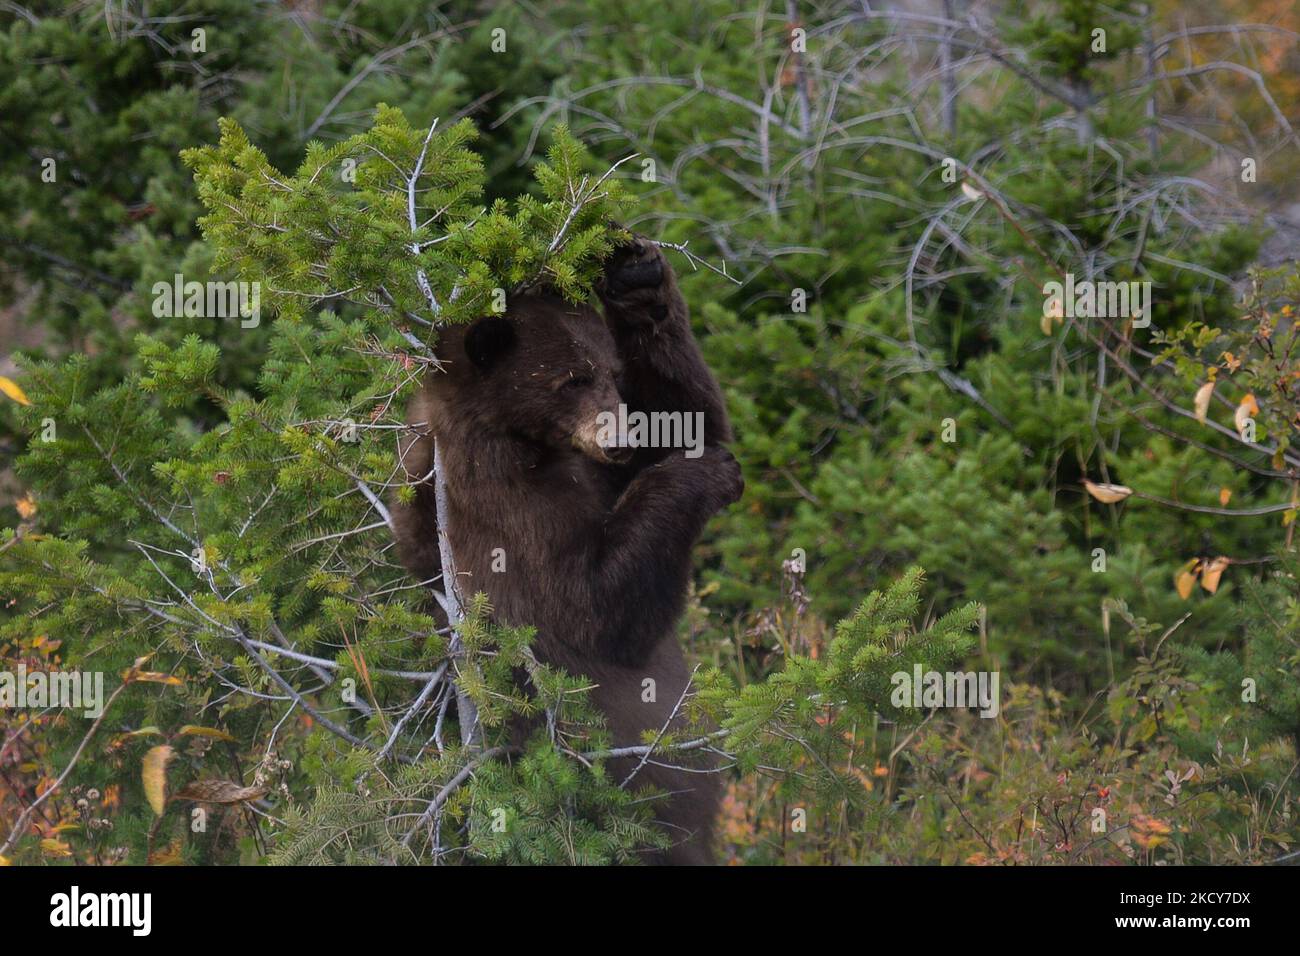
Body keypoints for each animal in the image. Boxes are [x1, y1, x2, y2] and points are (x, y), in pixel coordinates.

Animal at [392, 236, 742, 865]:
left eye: (614, 373)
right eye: (571, 380)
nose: (623, 440)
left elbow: (689, 417)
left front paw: (634, 276)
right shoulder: (496, 502)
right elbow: (586, 606)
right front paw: (704, 471)